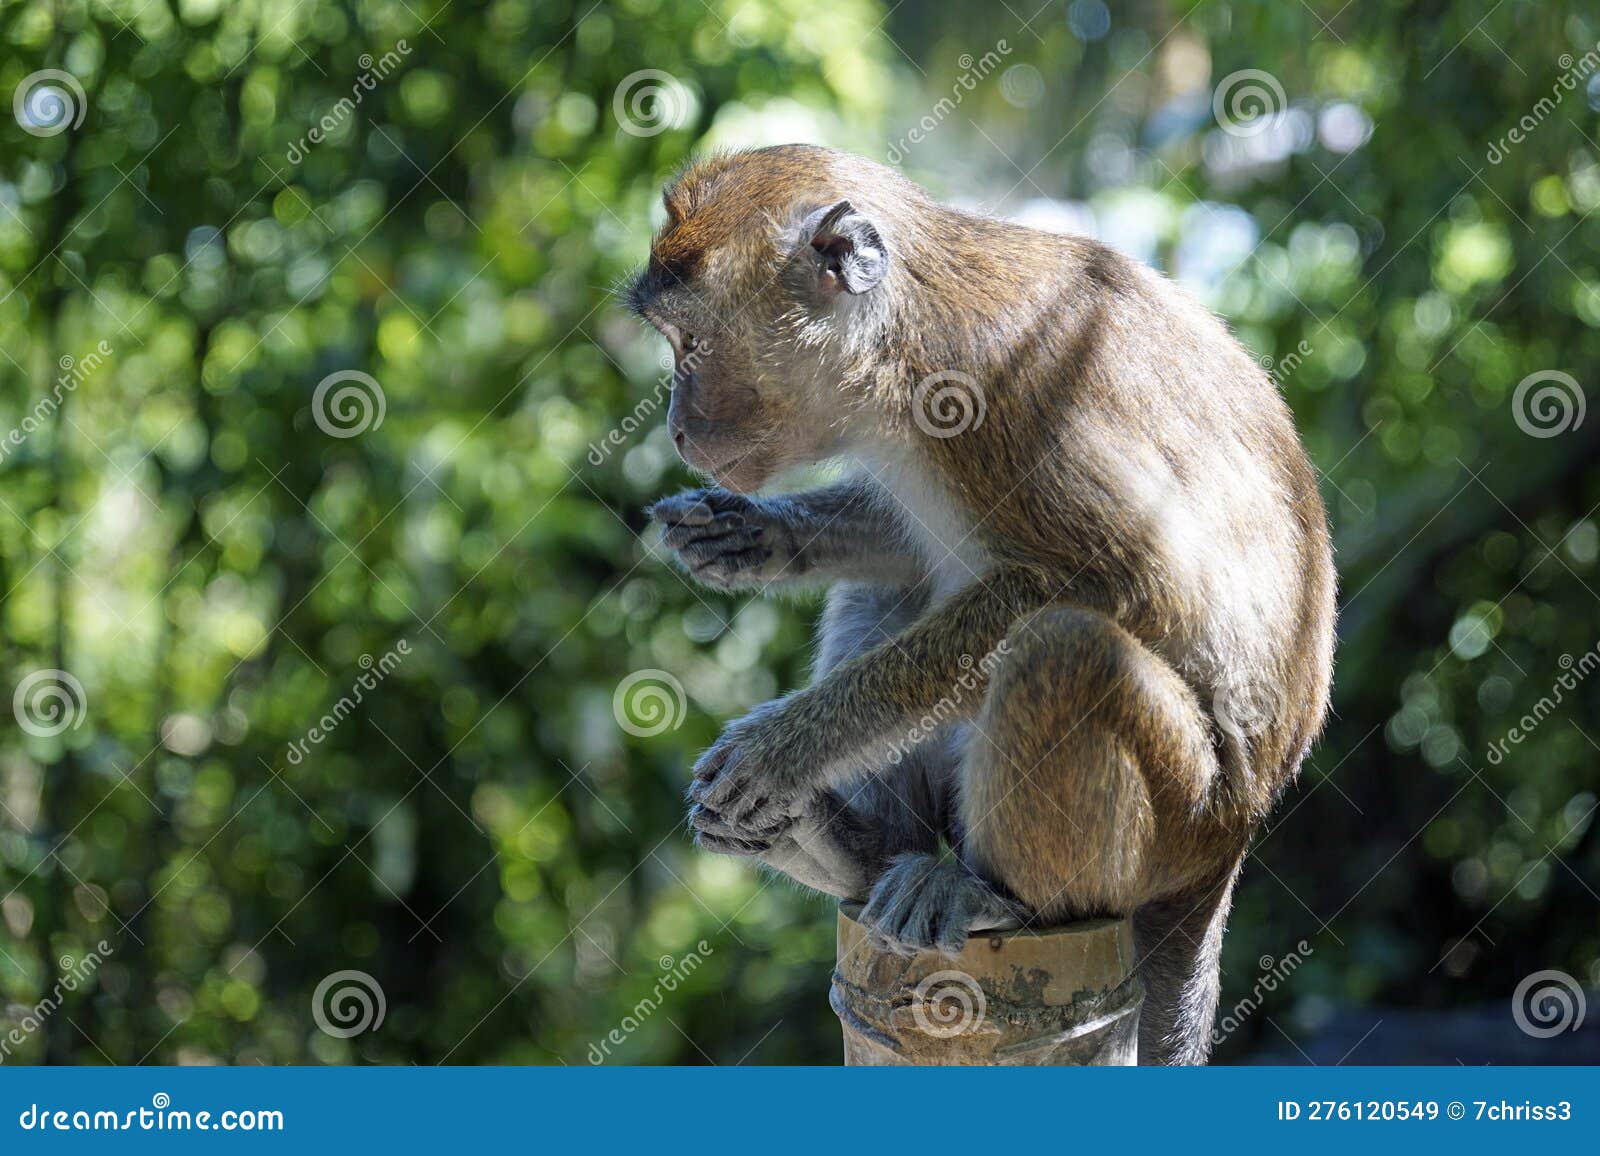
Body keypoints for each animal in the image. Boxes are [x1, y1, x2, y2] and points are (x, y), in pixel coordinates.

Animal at [628, 145, 1336, 1066]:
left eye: (693, 342)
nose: (676, 427)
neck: (897, 336)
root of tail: (1240, 836)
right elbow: (913, 548)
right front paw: (756, 535)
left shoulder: (1007, 383)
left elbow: (1128, 578)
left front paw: (785, 747)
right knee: (900, 589)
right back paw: (853, 849)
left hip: (1181, 821)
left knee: (1063, 650)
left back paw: (1004, 898)